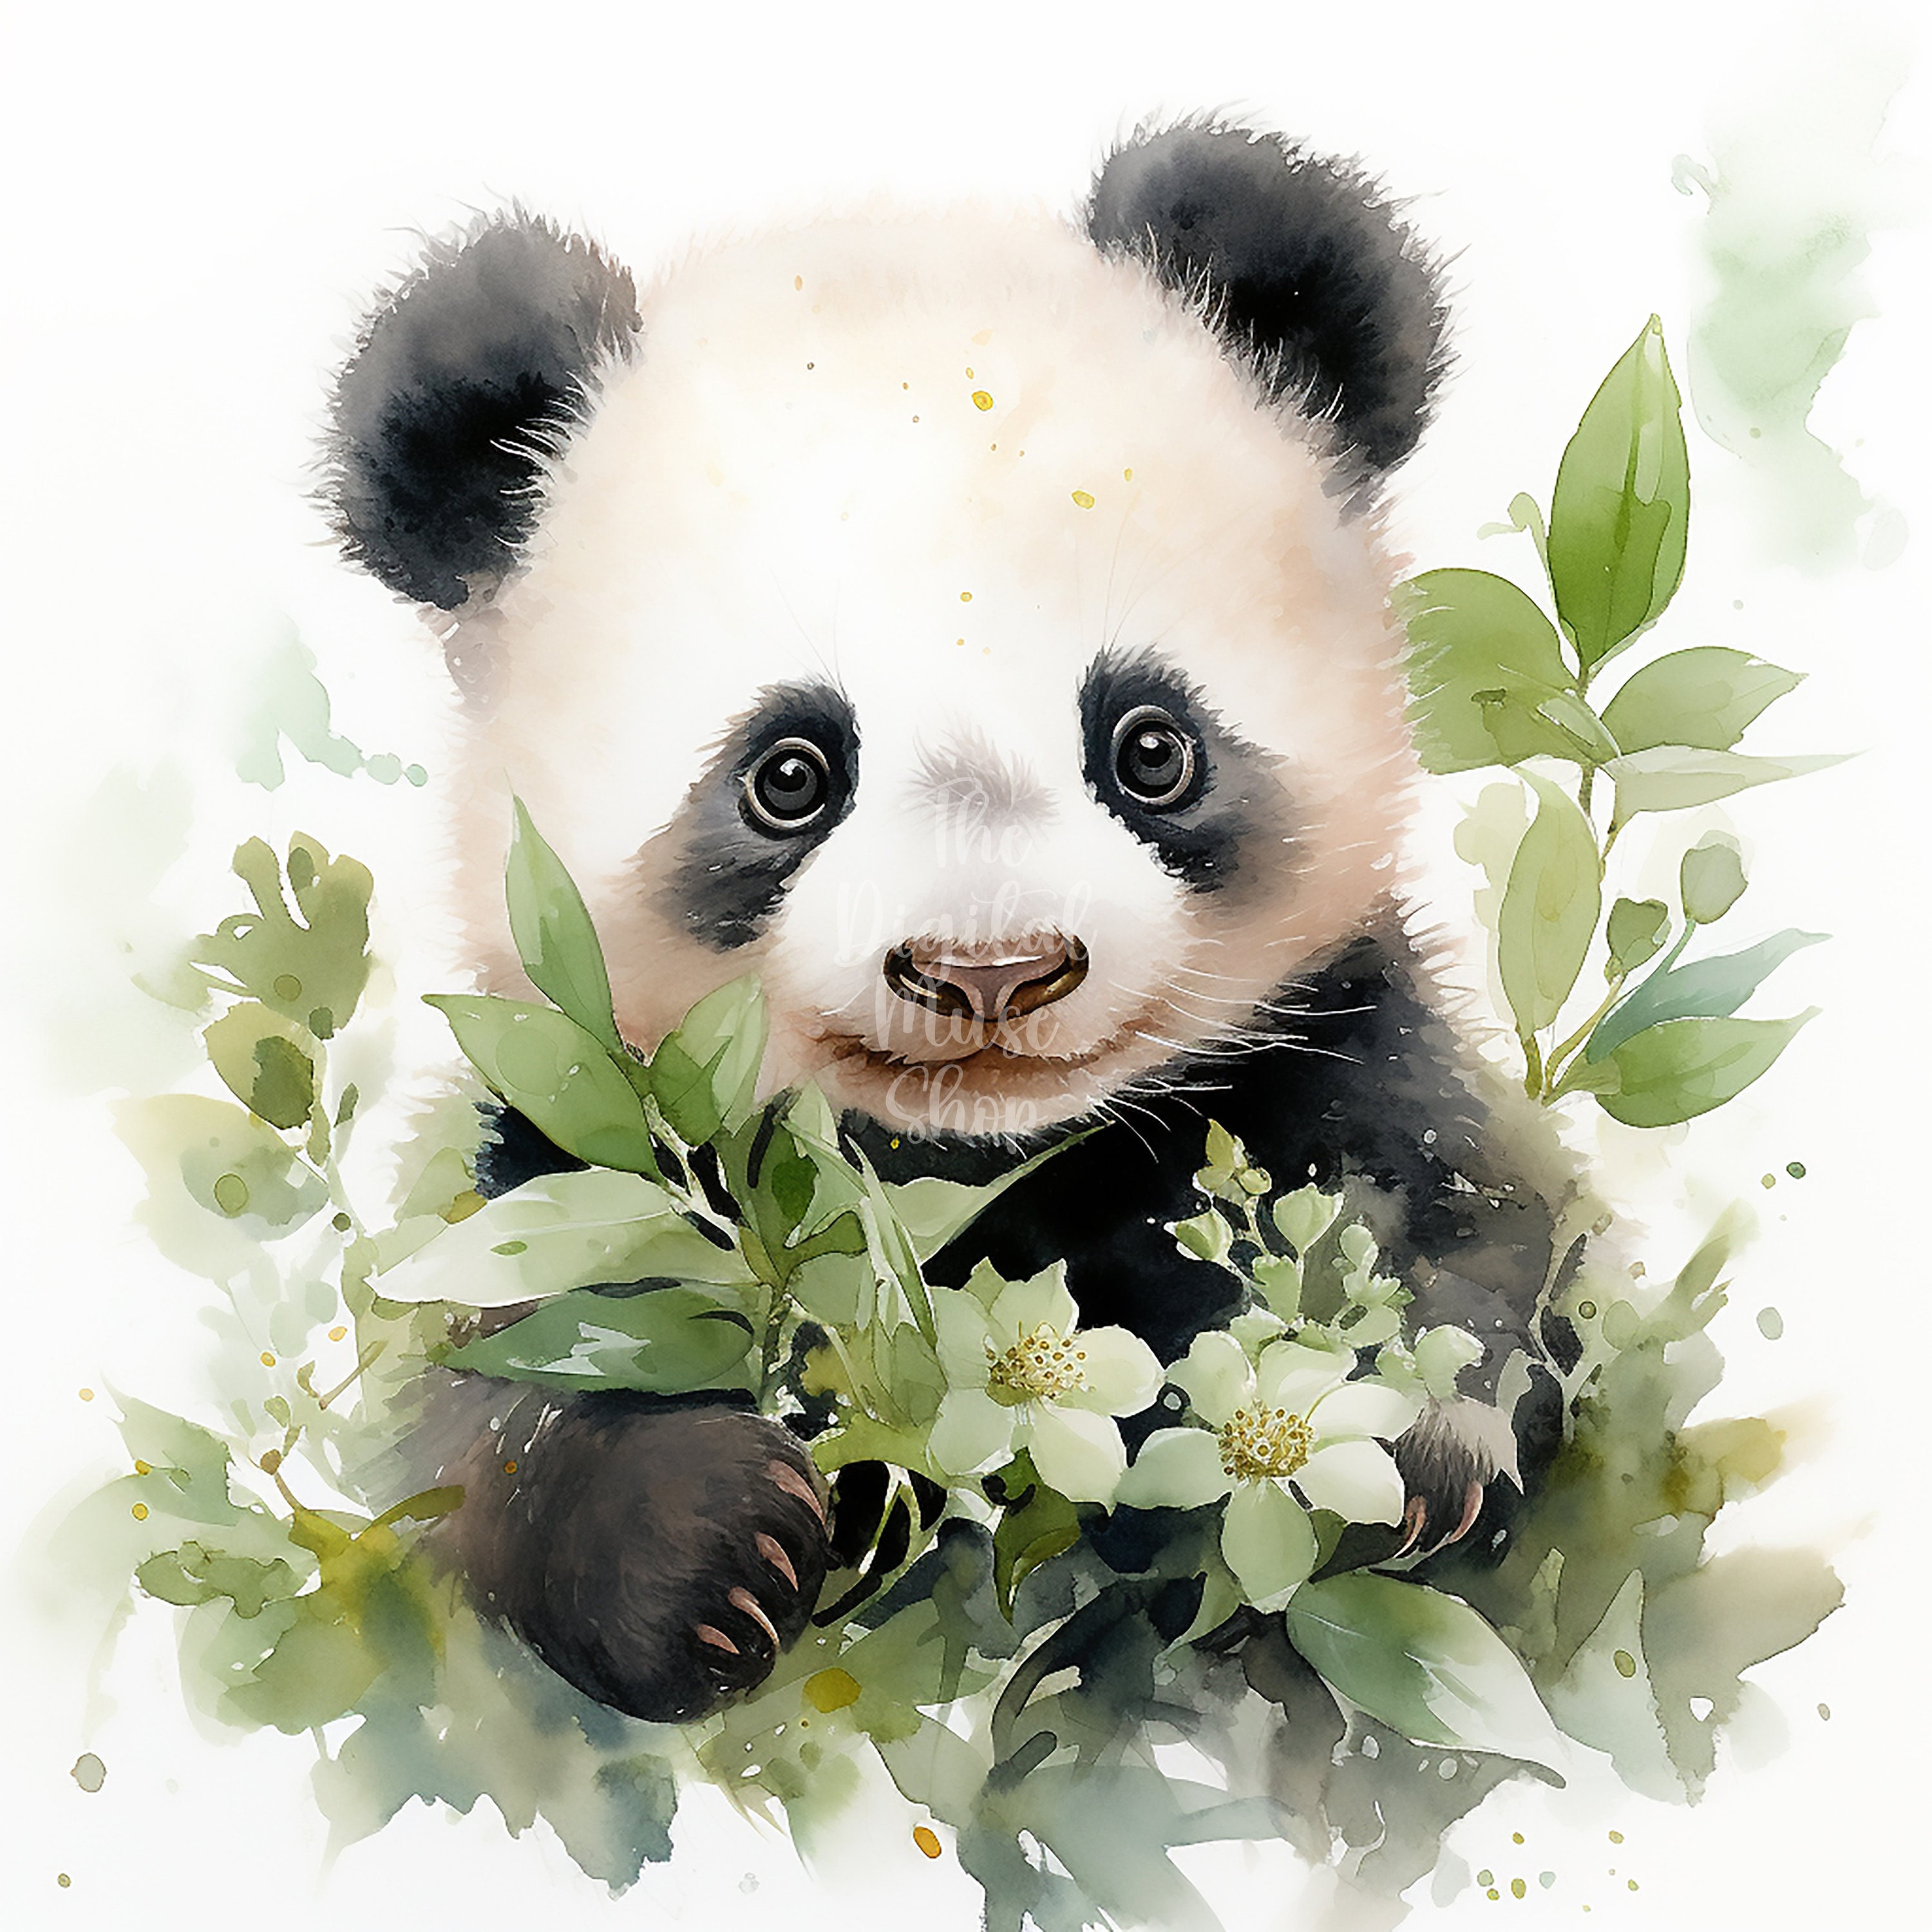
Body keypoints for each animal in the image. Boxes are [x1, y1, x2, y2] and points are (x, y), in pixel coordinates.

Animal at [326, 119, 1580, 1726]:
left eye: (1153, 746)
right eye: (789, 774)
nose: (992, 974)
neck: (984, 1180)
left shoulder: (1331, 1046)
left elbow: (1481, 1227)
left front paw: (1400, 1436)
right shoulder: (576, 1156)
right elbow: (484, 1419)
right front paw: (703, 1551)